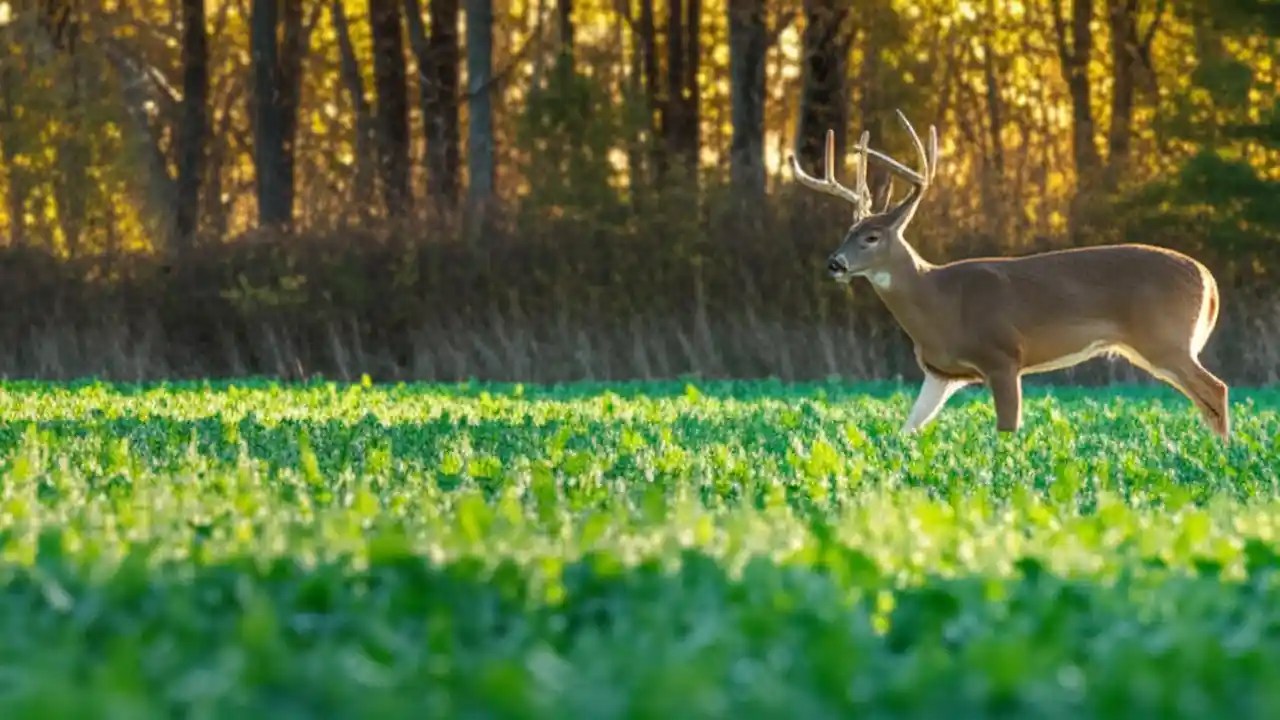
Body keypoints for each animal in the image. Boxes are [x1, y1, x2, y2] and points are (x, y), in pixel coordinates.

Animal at [789, 110, 1230, 441]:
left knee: (1216, 390)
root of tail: (1209, 281)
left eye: (872, 236)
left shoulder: (1002, 356)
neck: (940, 304)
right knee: (1205, 400)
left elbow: (1008, 430)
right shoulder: (941, 372)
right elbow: (908, 428)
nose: (835, 264)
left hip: (1166, 339)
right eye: (848, 232)